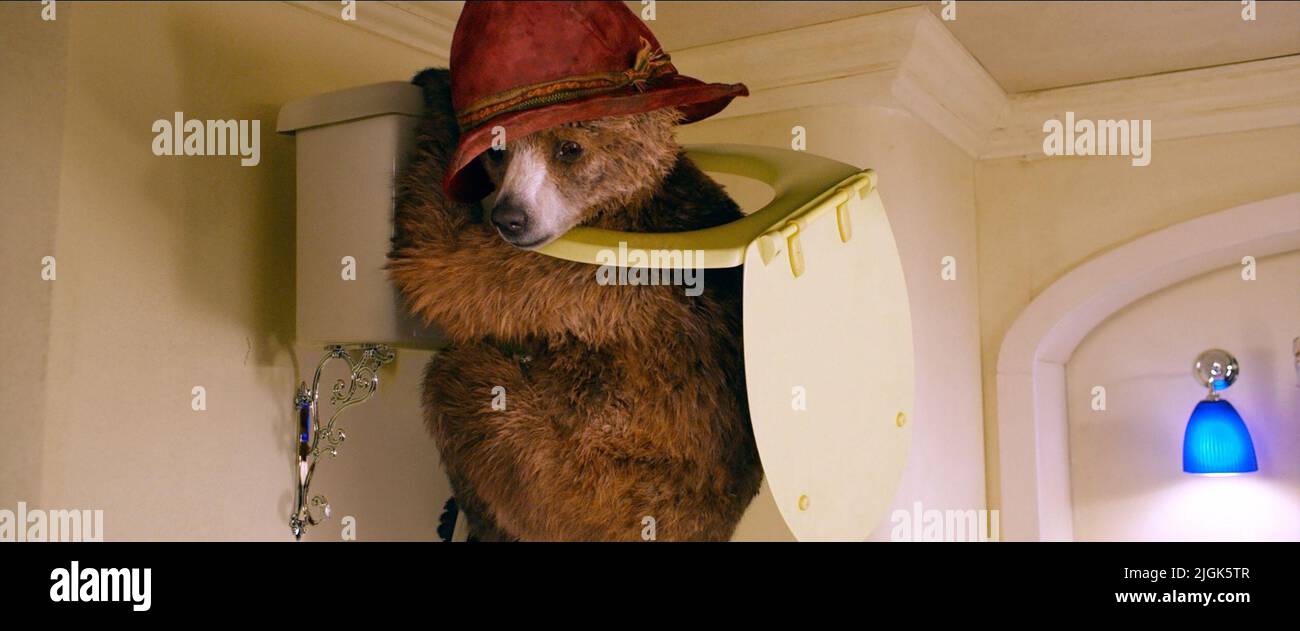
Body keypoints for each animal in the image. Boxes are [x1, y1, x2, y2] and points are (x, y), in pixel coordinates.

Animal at [388, 68, 762, 541]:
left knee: (460, 378)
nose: (510, 218)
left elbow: (437, 268)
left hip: (587, 489)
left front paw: (435, 88)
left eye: (569, 147)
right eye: (497, 152)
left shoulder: (588, 271)